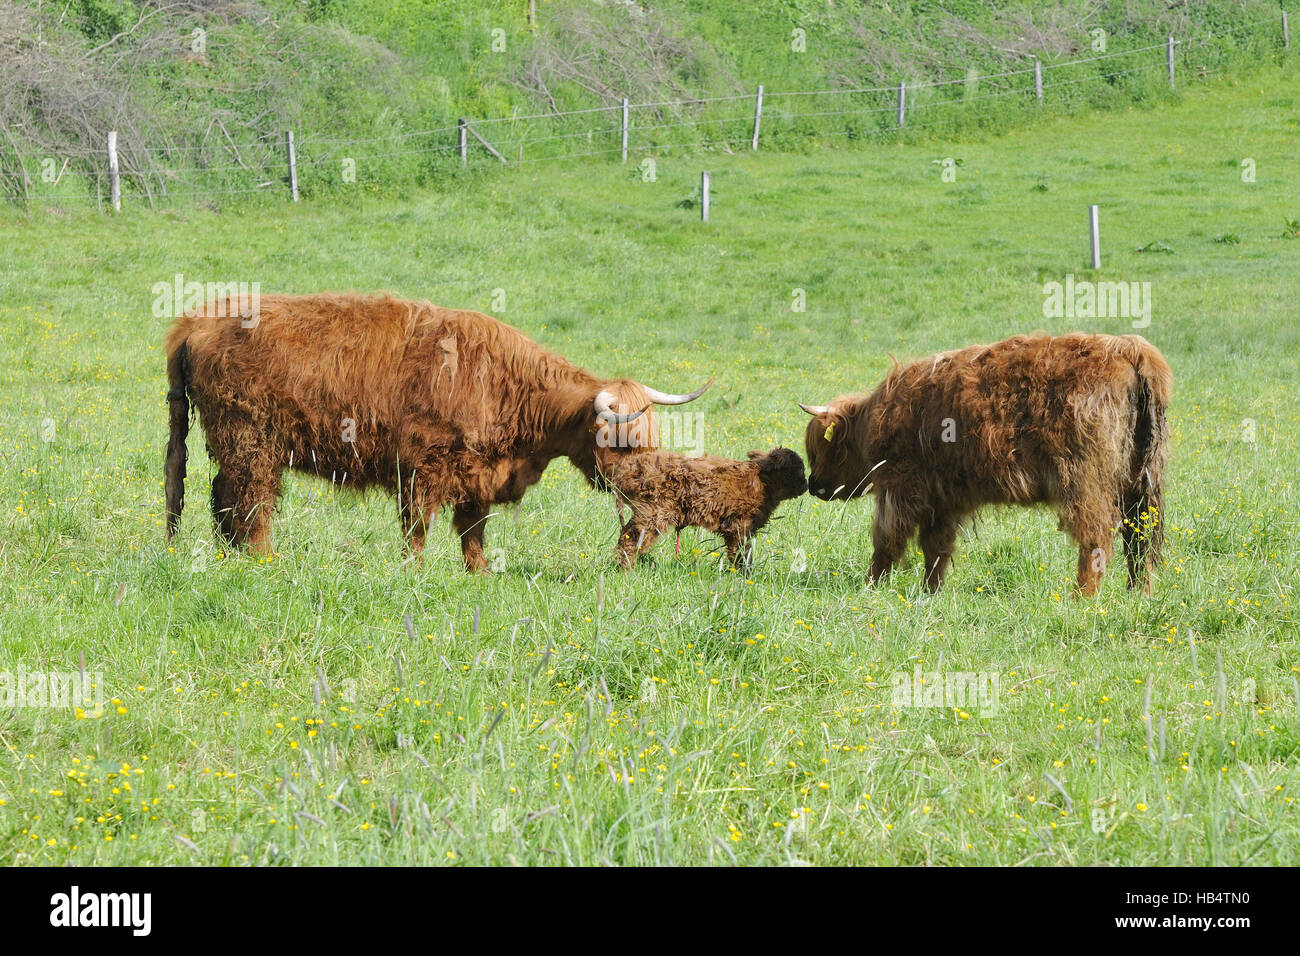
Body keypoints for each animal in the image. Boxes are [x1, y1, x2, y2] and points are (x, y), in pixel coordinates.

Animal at [163, 292, 711, 571]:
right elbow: (418, 528)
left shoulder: (478, 474)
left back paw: (228, 555)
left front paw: (478, 575)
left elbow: (473, 531)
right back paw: (262, 560)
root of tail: (199, 319)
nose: (653, 488)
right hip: (251, 440)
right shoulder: (421, 466)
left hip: (234, 443)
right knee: (251, 499)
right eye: (623, 439)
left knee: (222, 494)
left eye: (656, 437)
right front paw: (414, 572)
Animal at [601, 446, 807, 568]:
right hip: (654, 513)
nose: (806, 485)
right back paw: (626, 570)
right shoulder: (739, 525)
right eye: (799, 468)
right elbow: (741, 553)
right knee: (631, 539)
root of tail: (627, 467)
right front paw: (744, 576)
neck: (764, 482)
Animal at [797, 333, 1171, 595]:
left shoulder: (899, 488)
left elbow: (887, 543)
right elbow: (936, 548)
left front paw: (870, 587)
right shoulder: (941, 499)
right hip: (1142, 482)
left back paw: (1081, 598)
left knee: (1096, 538)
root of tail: (1129, 349)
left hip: (1086, 482)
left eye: (820, 449)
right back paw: (1137, 594)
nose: (812, 485)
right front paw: (929, 593)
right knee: (1140, 539)